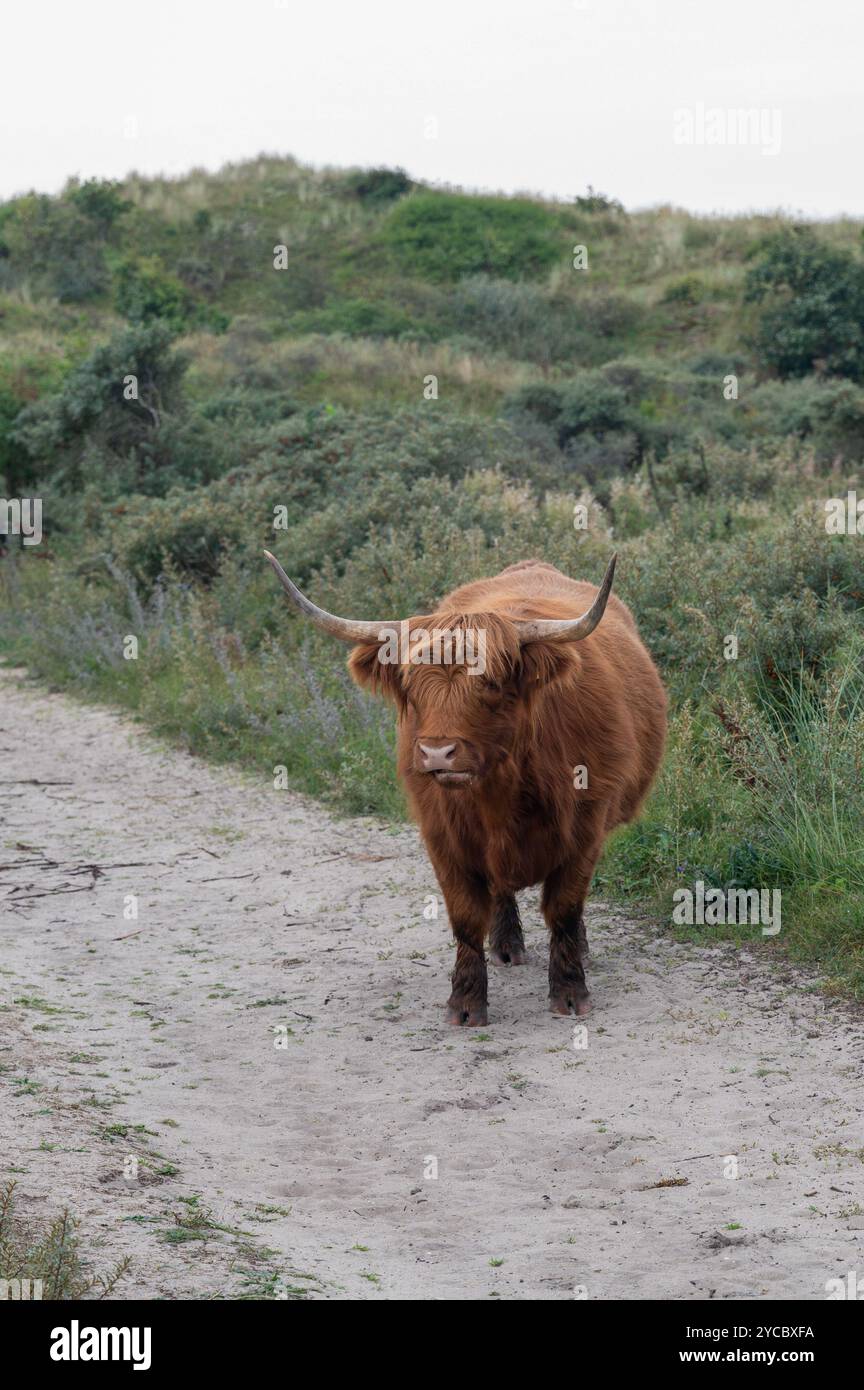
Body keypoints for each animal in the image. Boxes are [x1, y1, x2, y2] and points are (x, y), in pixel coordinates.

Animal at [264, 552, 667, 1025]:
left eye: (489, 683)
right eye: (411, 685)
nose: (437, 753)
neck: (503, 794)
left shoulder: (586, 825)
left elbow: (565, 909)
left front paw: (570, 992)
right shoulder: (442, 836)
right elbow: (466, 916)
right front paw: (466, 1002)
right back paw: (507, 948)